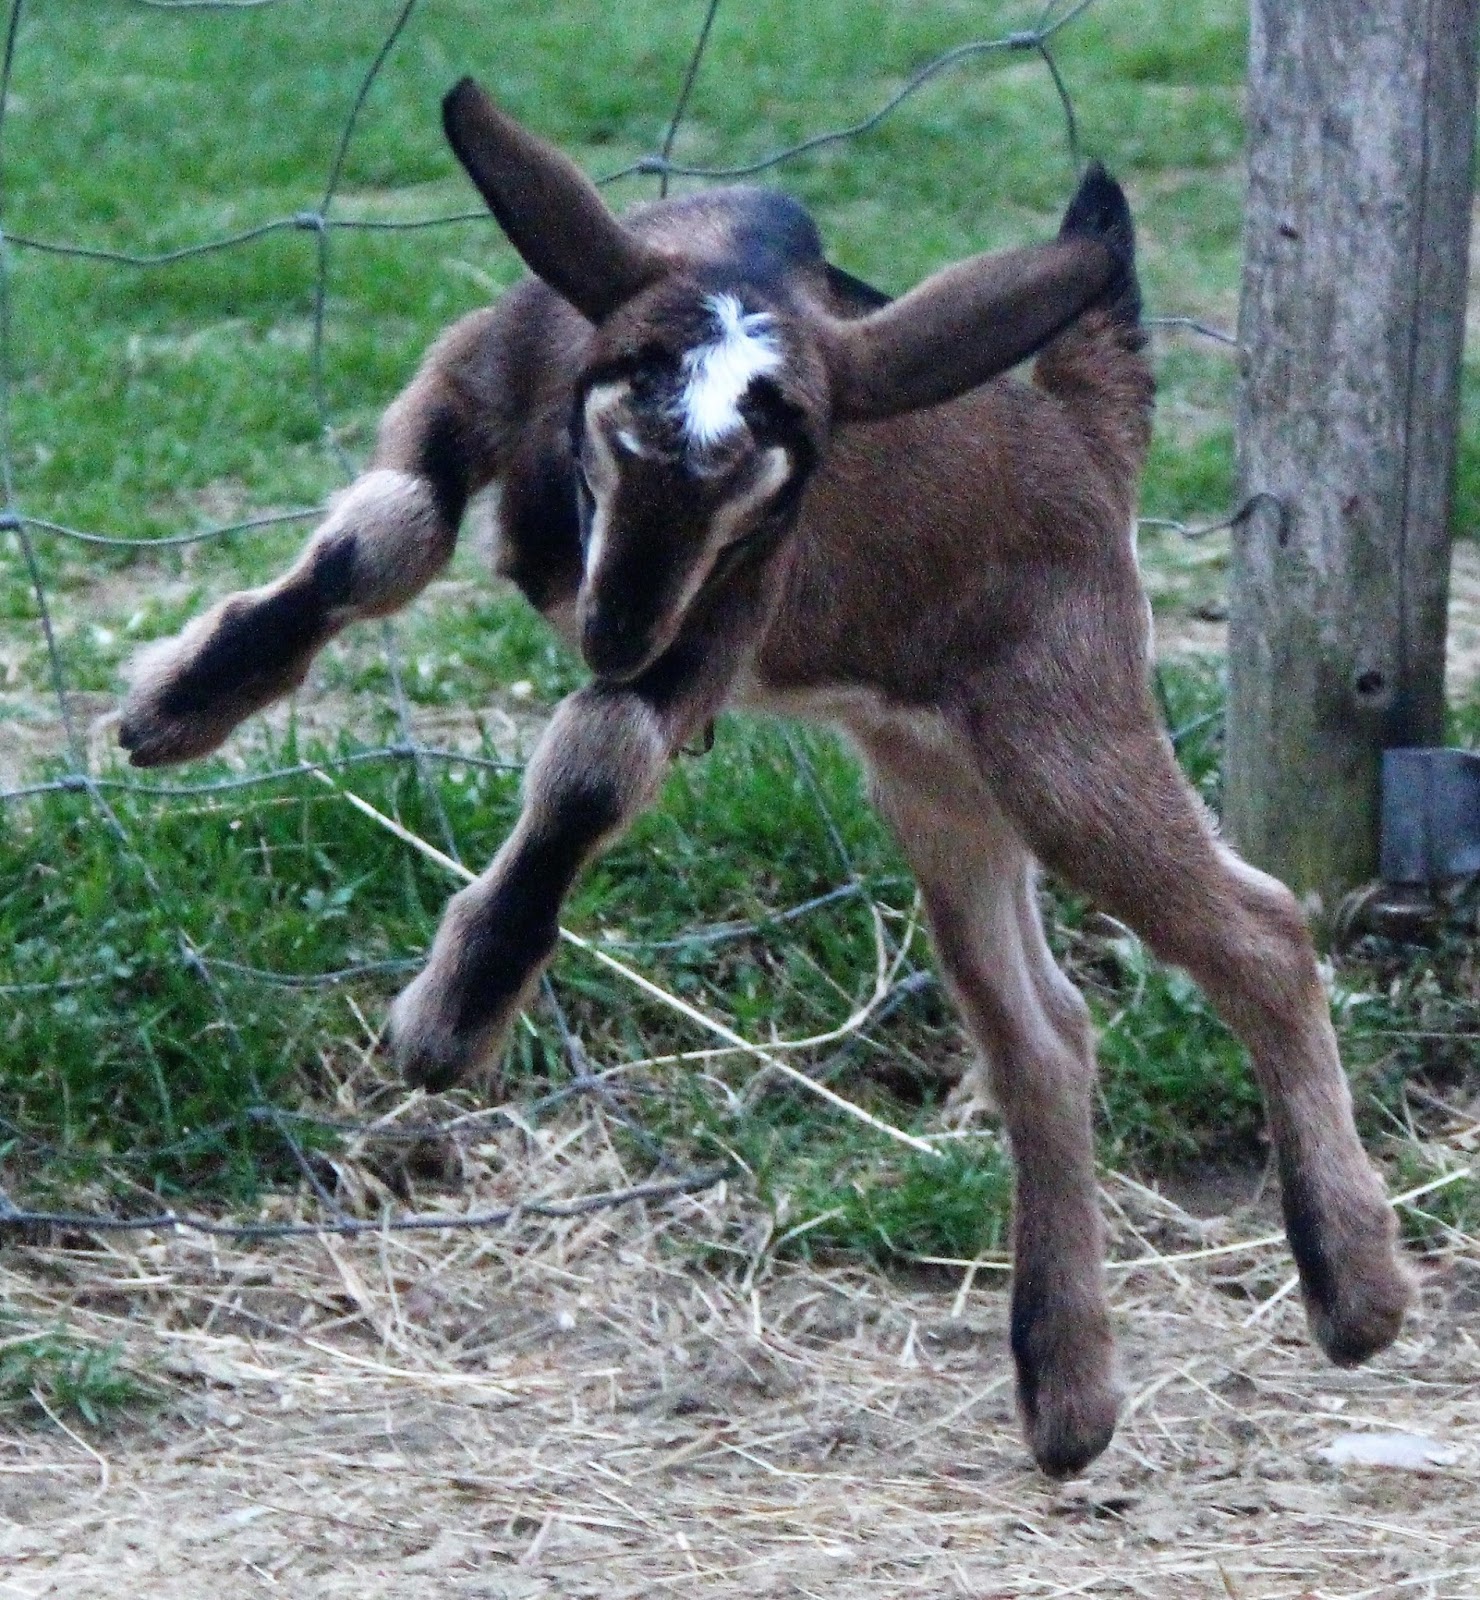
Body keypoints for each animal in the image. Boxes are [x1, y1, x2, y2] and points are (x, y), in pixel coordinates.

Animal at [118, 79, 1410, 1478]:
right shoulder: (475, 373)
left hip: (1063, 728)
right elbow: (377, 542)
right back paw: (1068, 1393)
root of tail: (1081, 423)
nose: (610, 627)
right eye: (603, 431)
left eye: (772, 503)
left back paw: (1352, 1292)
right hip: (935, 778)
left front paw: (449, 1022)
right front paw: (176, 708)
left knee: (1258, 931)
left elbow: (594, 763)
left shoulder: (724, 619)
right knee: (1043, 1032)